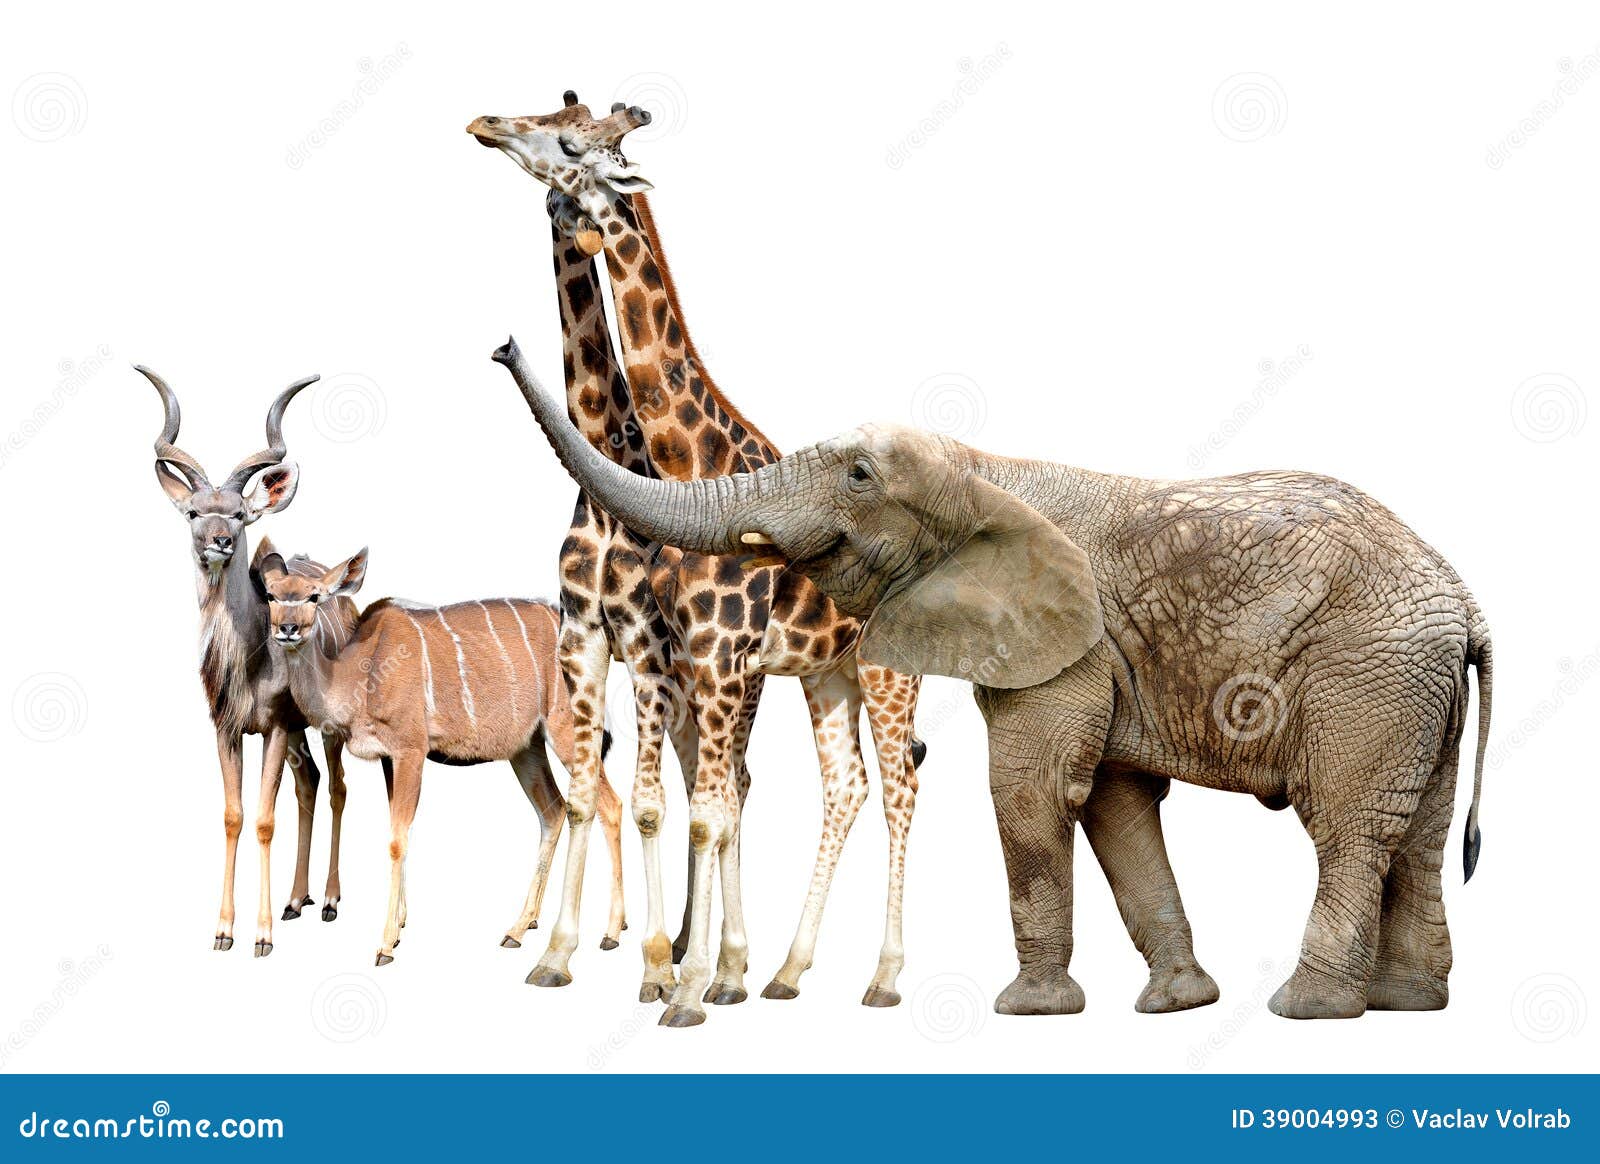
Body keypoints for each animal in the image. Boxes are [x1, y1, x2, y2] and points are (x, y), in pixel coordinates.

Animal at [473, 97, 928, 1024]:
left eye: (570, 144)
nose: (485, 123)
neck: (681, 461)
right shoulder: (610, 640)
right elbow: (627, 794)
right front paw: (588, 958)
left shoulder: (698, 653)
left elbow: (690, 809)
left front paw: (676, 980)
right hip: (828, 673)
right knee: (846, 788)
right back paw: (786, 969)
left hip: (887, 671)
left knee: (900, 792)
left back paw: (881, 975)